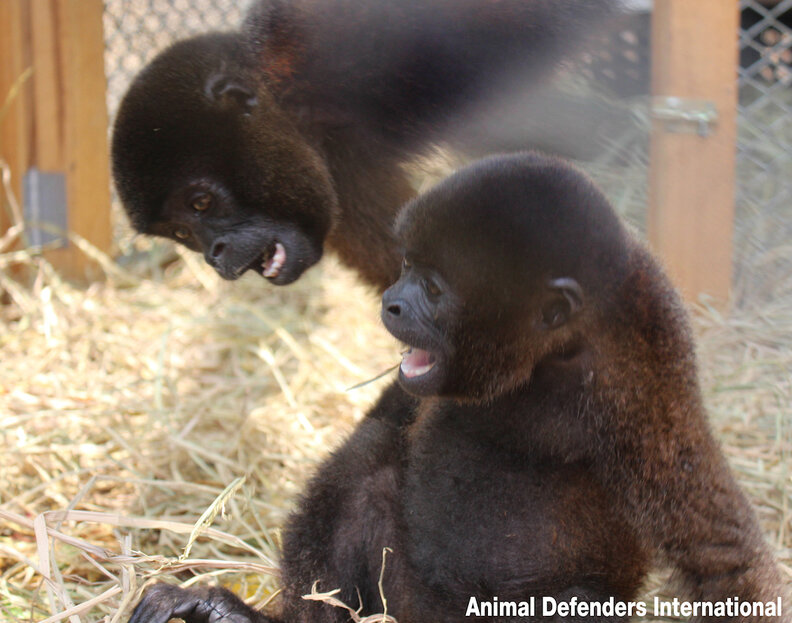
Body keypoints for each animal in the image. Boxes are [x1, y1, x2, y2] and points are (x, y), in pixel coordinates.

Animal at [127, 152, 787, 623]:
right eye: (407, 267)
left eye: (434, 289)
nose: (392, 302)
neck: (547, 357)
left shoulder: (645, 369)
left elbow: (716, 546)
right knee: (371, 468)